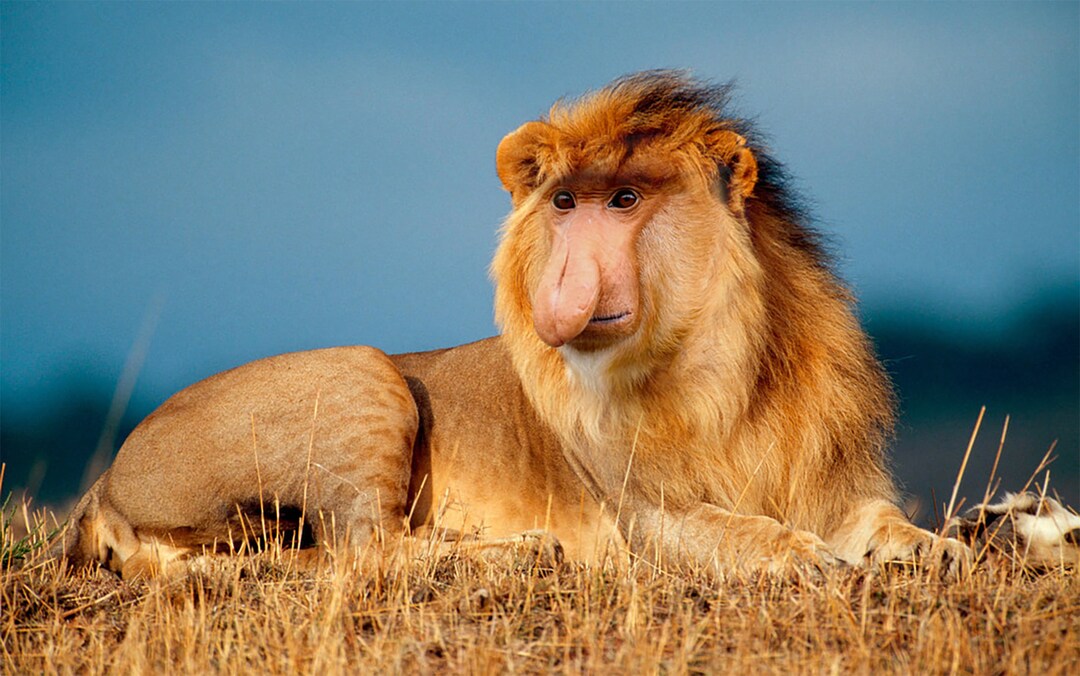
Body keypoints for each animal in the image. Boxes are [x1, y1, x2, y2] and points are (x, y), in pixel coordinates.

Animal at [53, 71, 970, 579]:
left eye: (624, 199)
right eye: (563, 204)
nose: (558, 283)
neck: (719, 370)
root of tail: (104, 479)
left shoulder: (832, 480)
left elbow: (881, 520)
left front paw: (938, 548)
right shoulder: (641, 514)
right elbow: (734, 530)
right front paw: (800, 555)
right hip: (364, 371)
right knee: (364, 551)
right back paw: (521, 551)